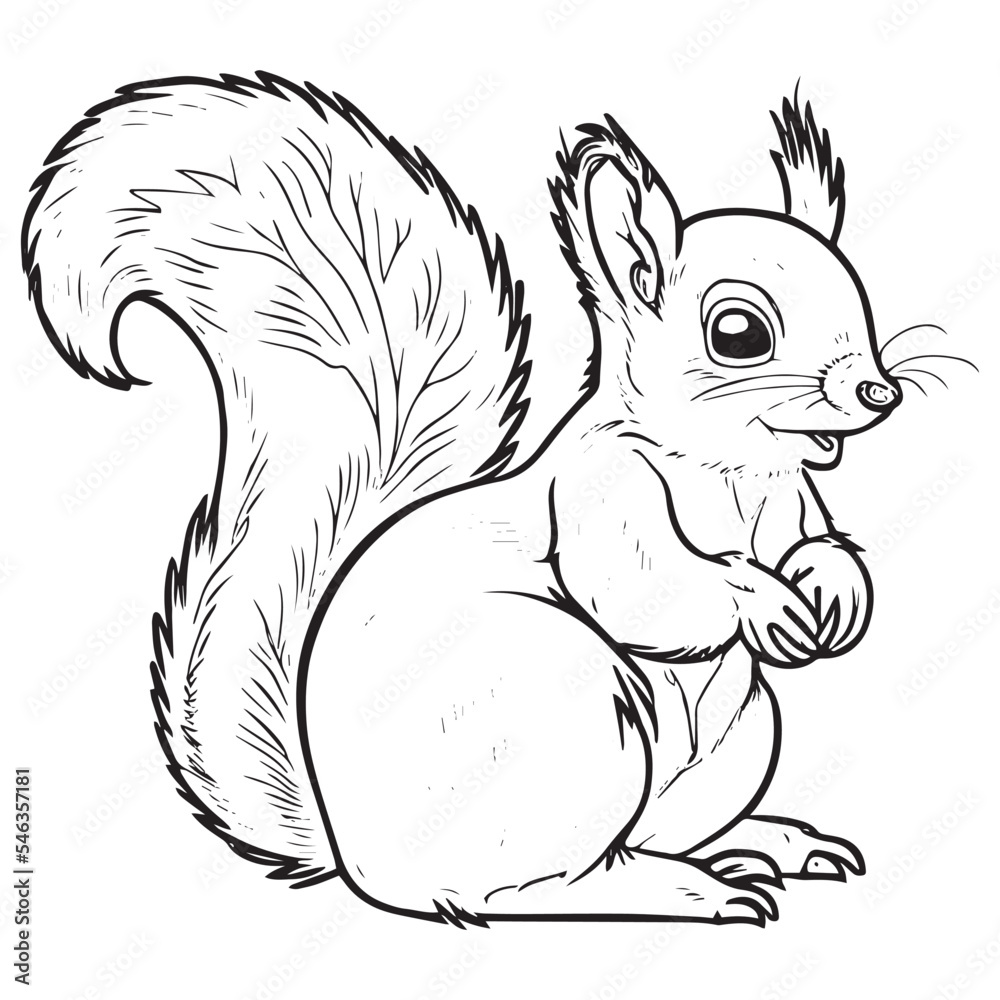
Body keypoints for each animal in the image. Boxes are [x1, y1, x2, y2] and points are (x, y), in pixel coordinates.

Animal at [23, 73, 904, 927]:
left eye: (860, 299)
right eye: (739, 333)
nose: (880, 393)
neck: (726, 474)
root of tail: (351, 855)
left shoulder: (791, 500)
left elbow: (813, 544)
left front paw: (835, 590)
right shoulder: (598, 490)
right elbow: (642, 587)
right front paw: (764, 601)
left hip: (741, 740)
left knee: (659, 833)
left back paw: (763, 844)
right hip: (574, 717)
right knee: (524, 889)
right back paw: (680, 890)